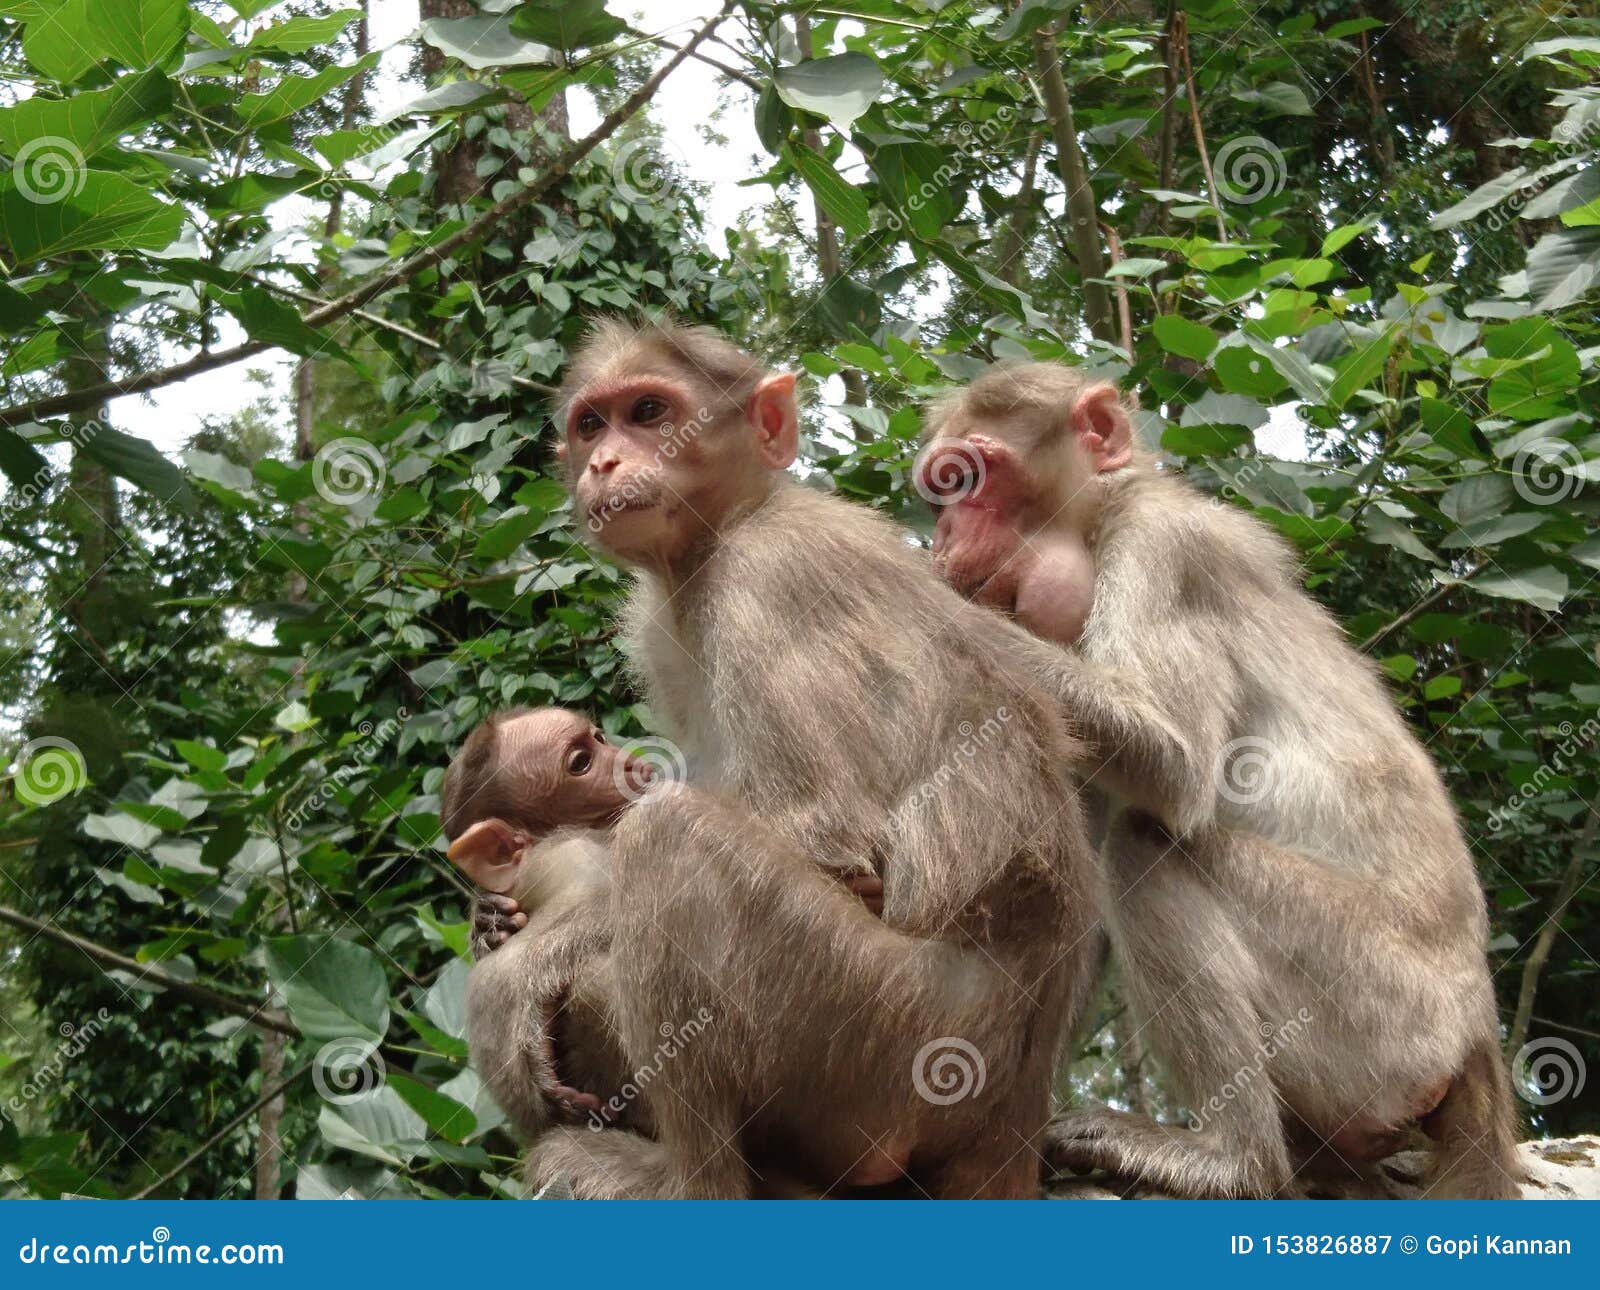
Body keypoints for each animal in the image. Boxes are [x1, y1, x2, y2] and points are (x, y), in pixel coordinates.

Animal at [480, 317, 1101, 1200]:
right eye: (592, 425)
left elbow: (830, 843)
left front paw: (529, 954)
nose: (605, 463)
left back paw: (692, 1183)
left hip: (892, 1044)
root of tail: (1018, 1110)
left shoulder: (766, 578)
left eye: (649, 411)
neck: (728, 528)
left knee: (669, 840)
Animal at [918, 361, 1522, 1200]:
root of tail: (1473, 1043)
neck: (1104, 518)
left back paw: (1235, 1159)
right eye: (943, 491)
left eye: (970, 480)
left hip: (1378, 1020)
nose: (945, 535)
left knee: (1148, 848)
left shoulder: (1161, 552)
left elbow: (1171, 764)